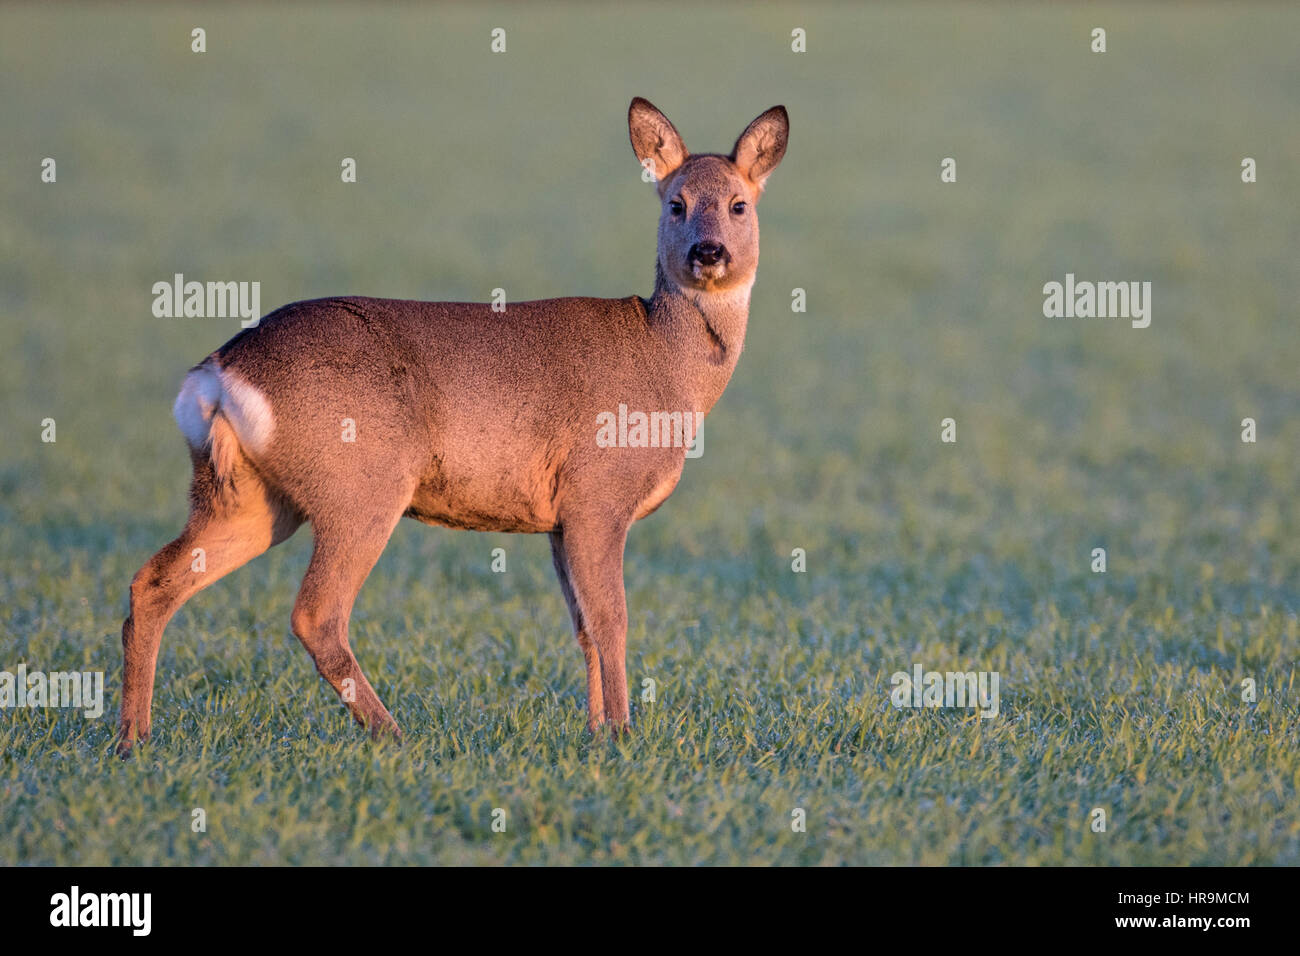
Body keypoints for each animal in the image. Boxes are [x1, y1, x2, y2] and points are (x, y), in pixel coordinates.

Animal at [117, 98, 789, 756]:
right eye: (676, 203)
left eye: (739, 204)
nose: (709, 253)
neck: (668, 371)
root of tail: (216, 373)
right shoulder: (599, 495)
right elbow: (611, 620)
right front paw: (624, 735)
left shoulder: (559, 518)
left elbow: (581, 628)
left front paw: (597, 734)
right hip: (362, 486)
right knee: (315, 613)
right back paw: (394, 735)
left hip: (251, 499)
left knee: (152, 583)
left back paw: (132, 739)